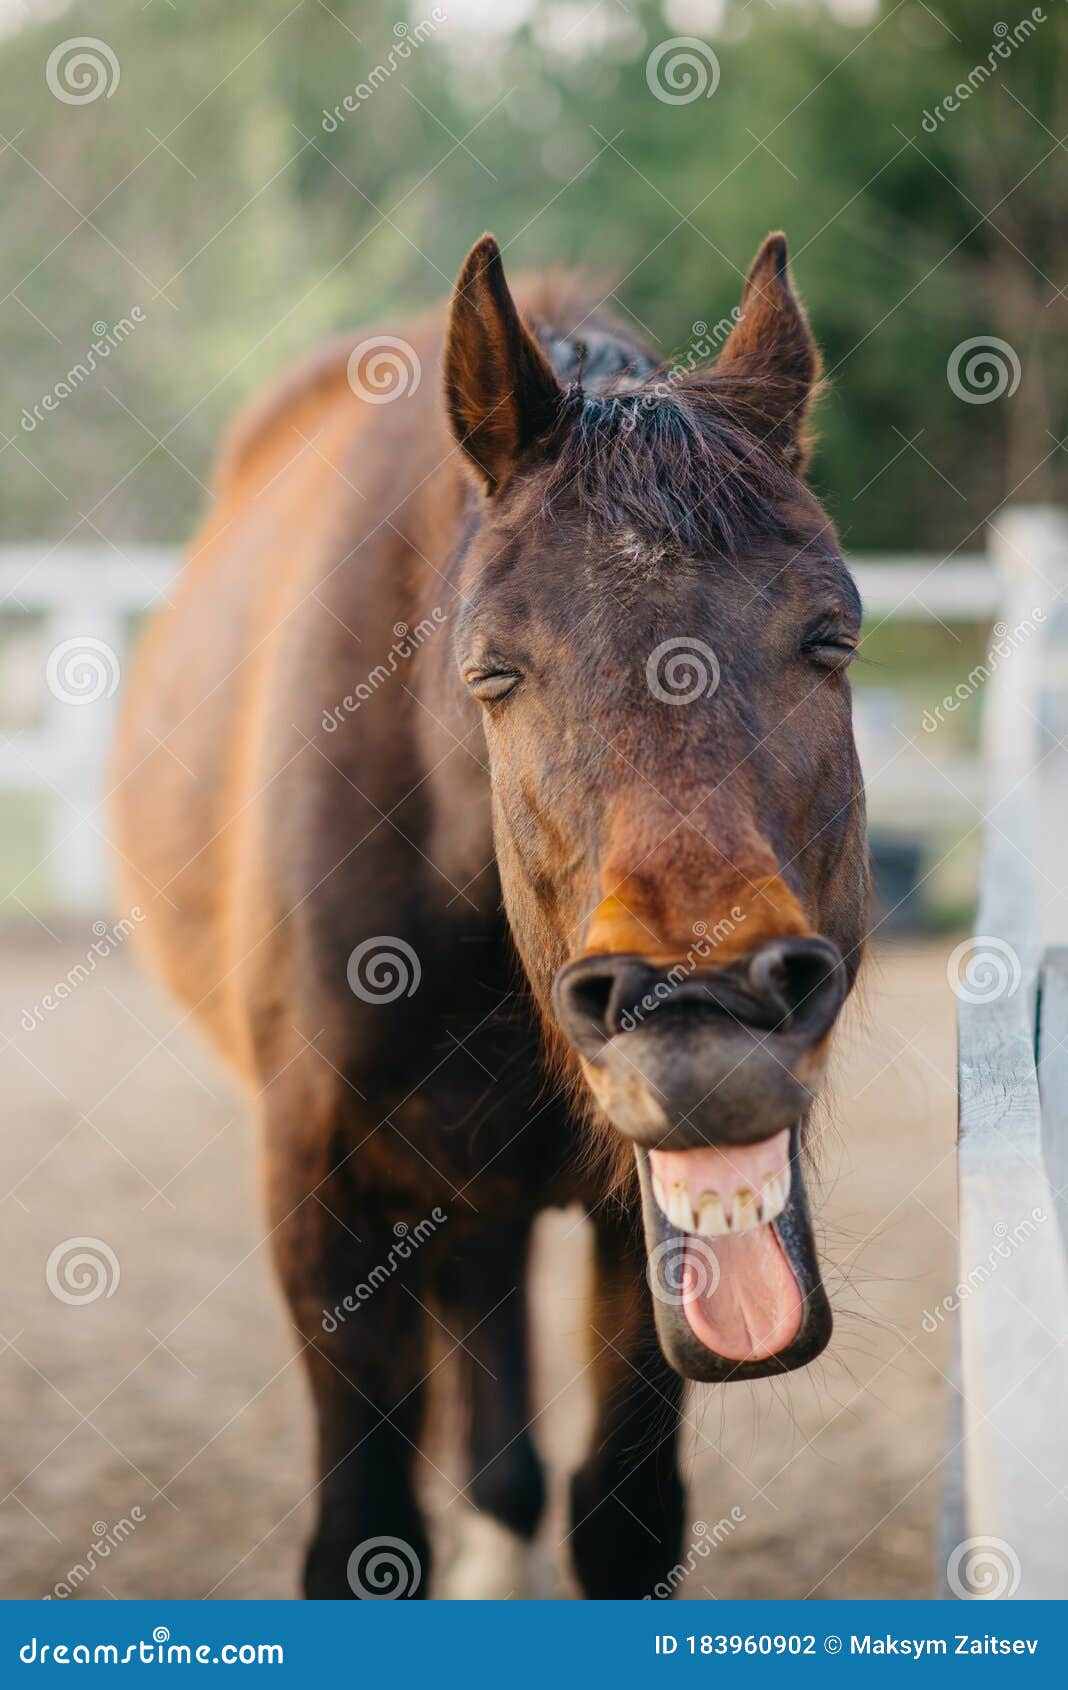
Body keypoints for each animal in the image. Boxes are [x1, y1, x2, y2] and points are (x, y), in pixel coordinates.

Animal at [112, 230, 869, 1599]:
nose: (707, 1030)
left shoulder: (629, 1225)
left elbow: (621, 1524)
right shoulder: (321, 1192)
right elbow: (366, 1537)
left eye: (832, 638)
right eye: (494, 669)